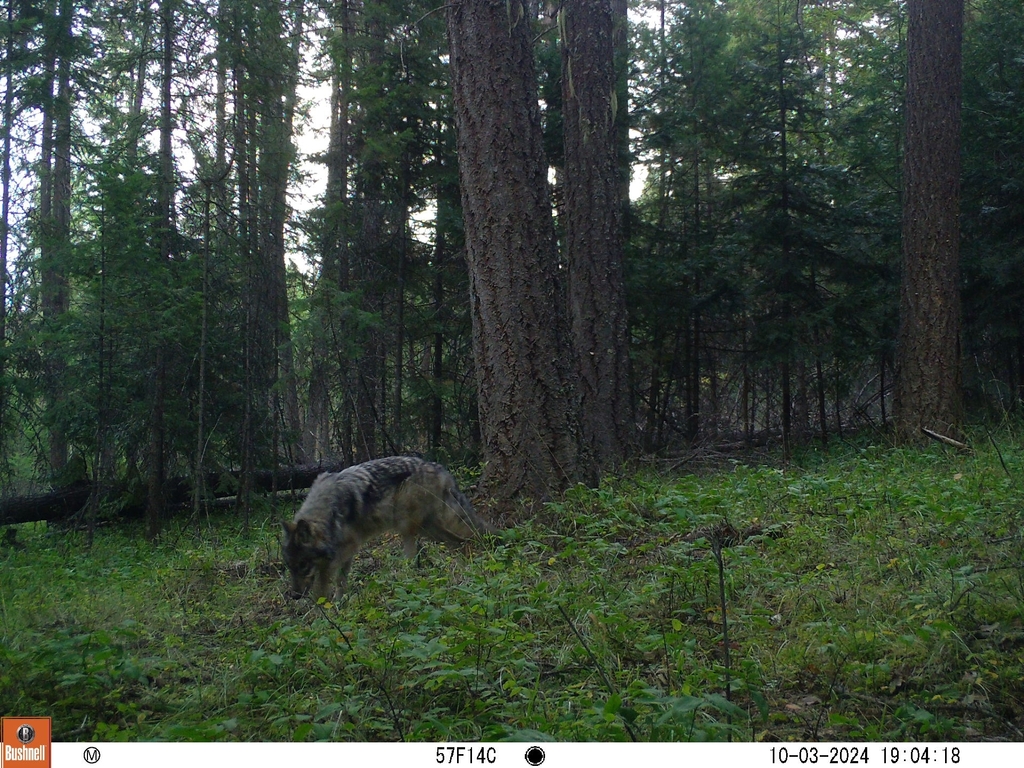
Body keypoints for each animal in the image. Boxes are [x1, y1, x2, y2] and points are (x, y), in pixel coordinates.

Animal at [281, 456, 496, 601]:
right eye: (289, 566)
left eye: (303, 565)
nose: (295, 596)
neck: (329, 512)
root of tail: (443, 471)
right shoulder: (347, 551)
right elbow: (340, 580)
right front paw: (338, 605)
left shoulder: (348, 547)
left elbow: (324, 579)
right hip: (429, 529)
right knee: (459, 543)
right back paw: (464, 570)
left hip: (407, 525)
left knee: (413, 559)